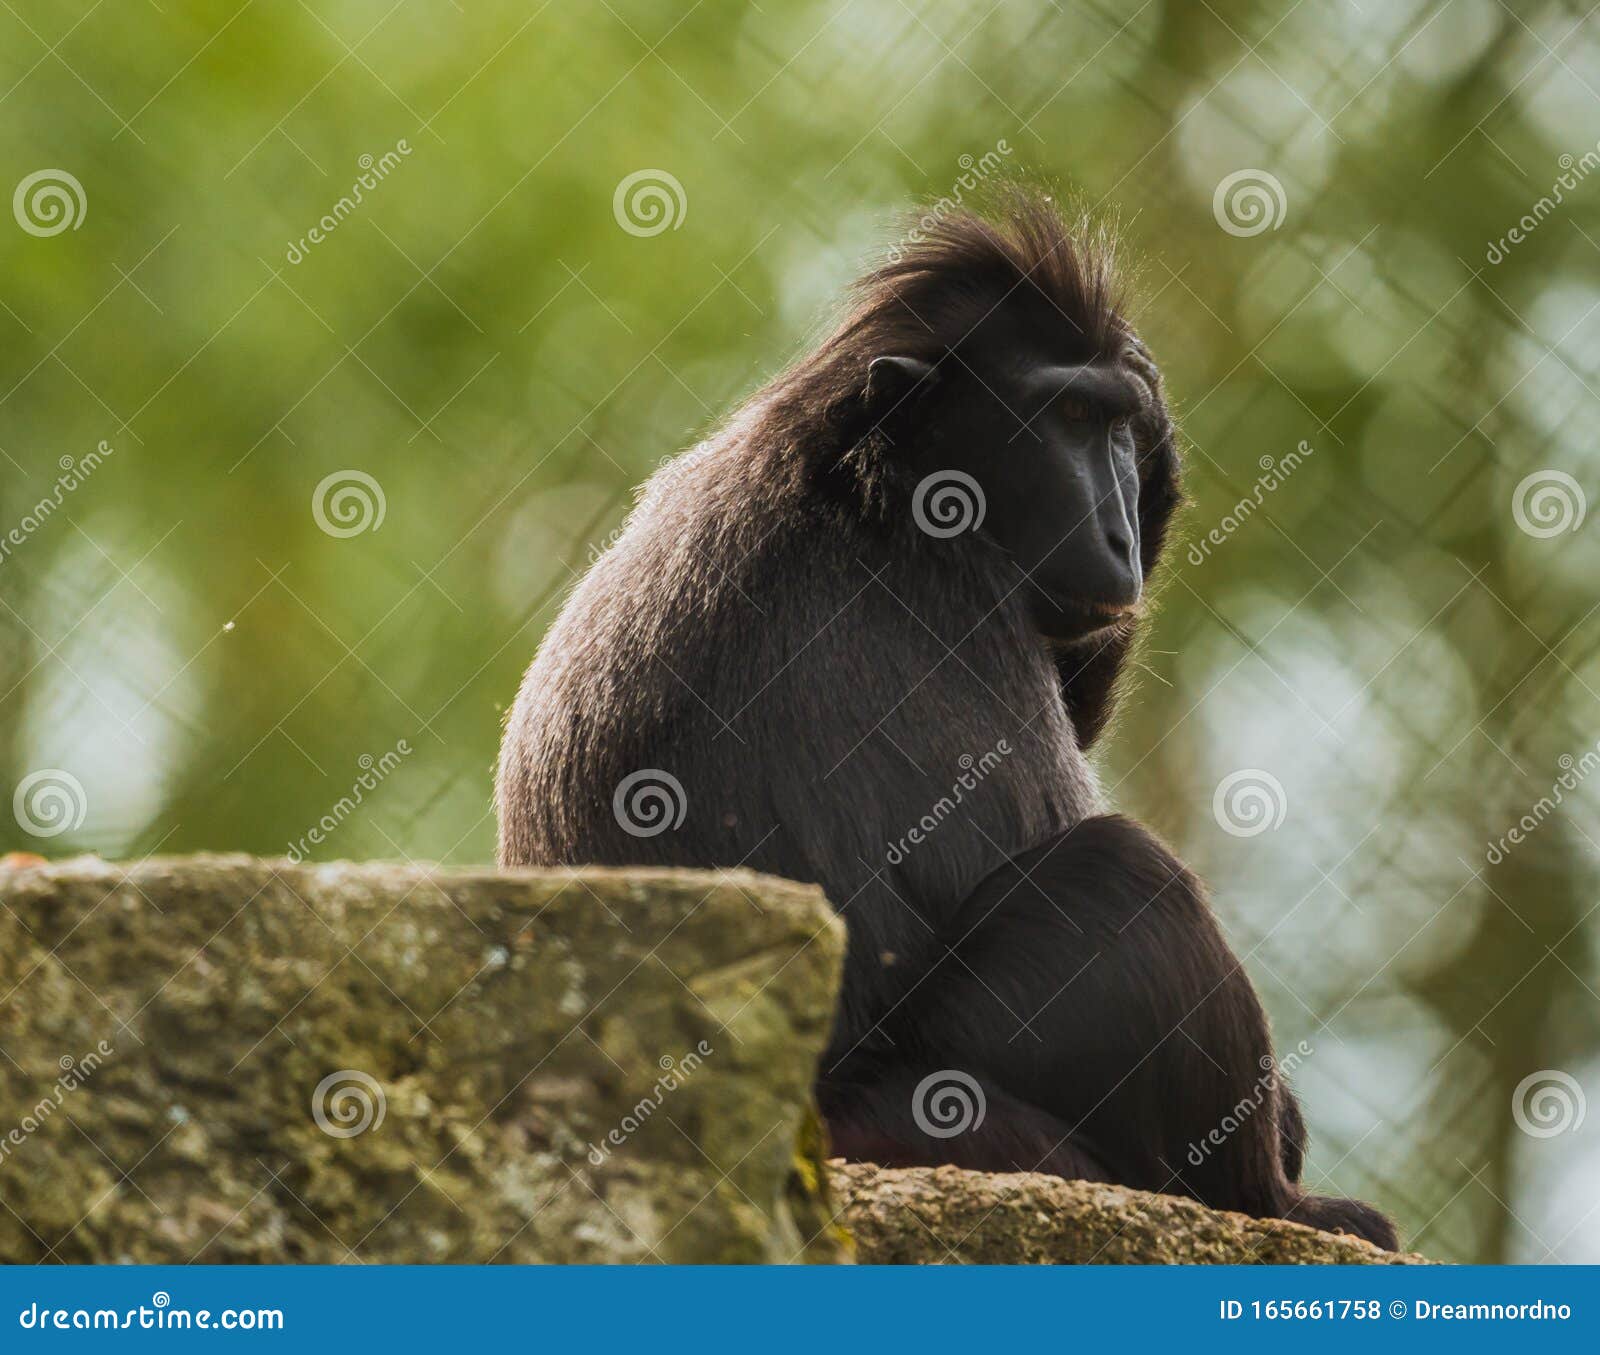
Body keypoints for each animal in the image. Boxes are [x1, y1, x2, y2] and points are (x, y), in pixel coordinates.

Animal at [497, 186, 1397, 1249]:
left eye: (1121, 430)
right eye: (1072, 418)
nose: (1119, 532)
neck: (854, 475)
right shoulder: (961, 586)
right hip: (927, 1121)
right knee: (1118, 876)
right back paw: (1274, 1204)